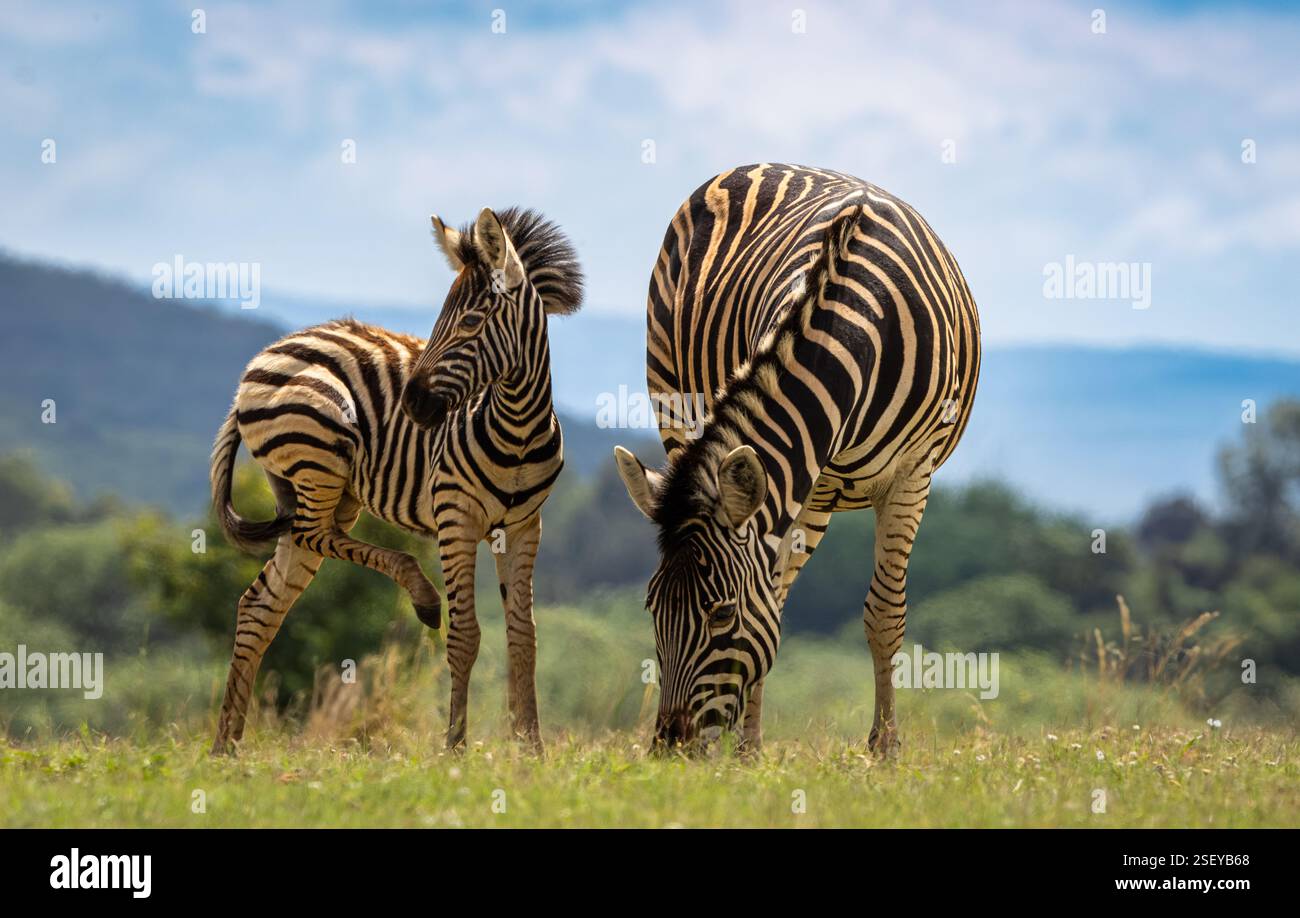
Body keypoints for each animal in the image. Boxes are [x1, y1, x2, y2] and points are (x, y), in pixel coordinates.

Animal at [208, 206, 582, 755]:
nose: (413, 404)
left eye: (471, 321)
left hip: (322, 488)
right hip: (321, 453)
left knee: (261, 604)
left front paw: (530, 747)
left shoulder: (523, 526)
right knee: (313, 535)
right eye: (440, 317)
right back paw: (421, 591)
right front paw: (456, 746)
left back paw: (226, 746)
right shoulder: (455, 518)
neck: (517, 426)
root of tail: (264, 357)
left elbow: (524, 636)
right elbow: (465, 635)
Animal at [613, 164, 980, 754]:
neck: (860, 321)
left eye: (722, 614)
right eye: (652, 608)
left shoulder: (912, 475)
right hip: (679, 404)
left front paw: (884, 749)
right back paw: (749, 744)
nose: (670, 748)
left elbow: (885, 615)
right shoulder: (796, 475)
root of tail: (750, 164)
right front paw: (748, 749)